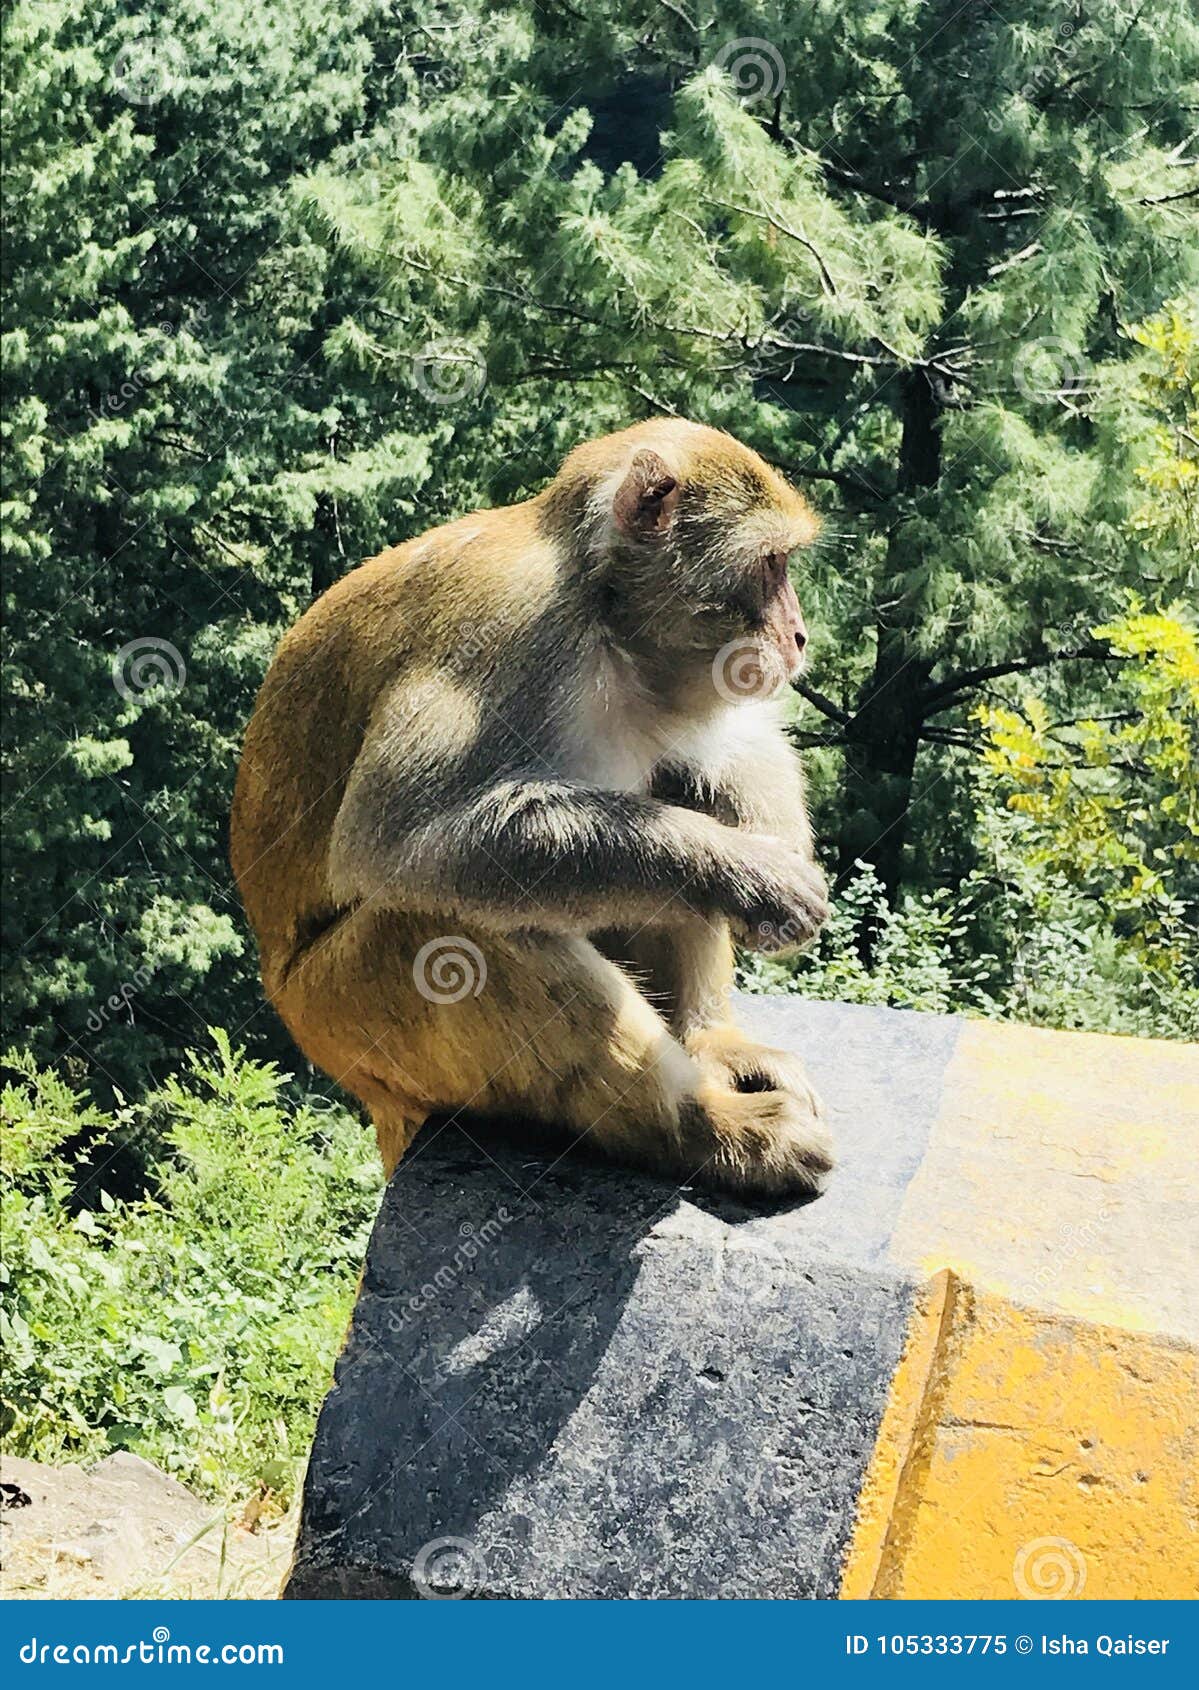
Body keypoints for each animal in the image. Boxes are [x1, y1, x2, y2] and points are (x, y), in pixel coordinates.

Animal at [230, 418, 833, 1198]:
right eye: (769, 565)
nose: (798, 636)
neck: (600, 611)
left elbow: (732, 745)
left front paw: (768, 842)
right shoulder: (506, 633)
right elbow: (396, 845)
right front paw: (747, 871)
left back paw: (708, 1040)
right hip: (347, 1020)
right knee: (450, 919)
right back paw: (703, 1129)